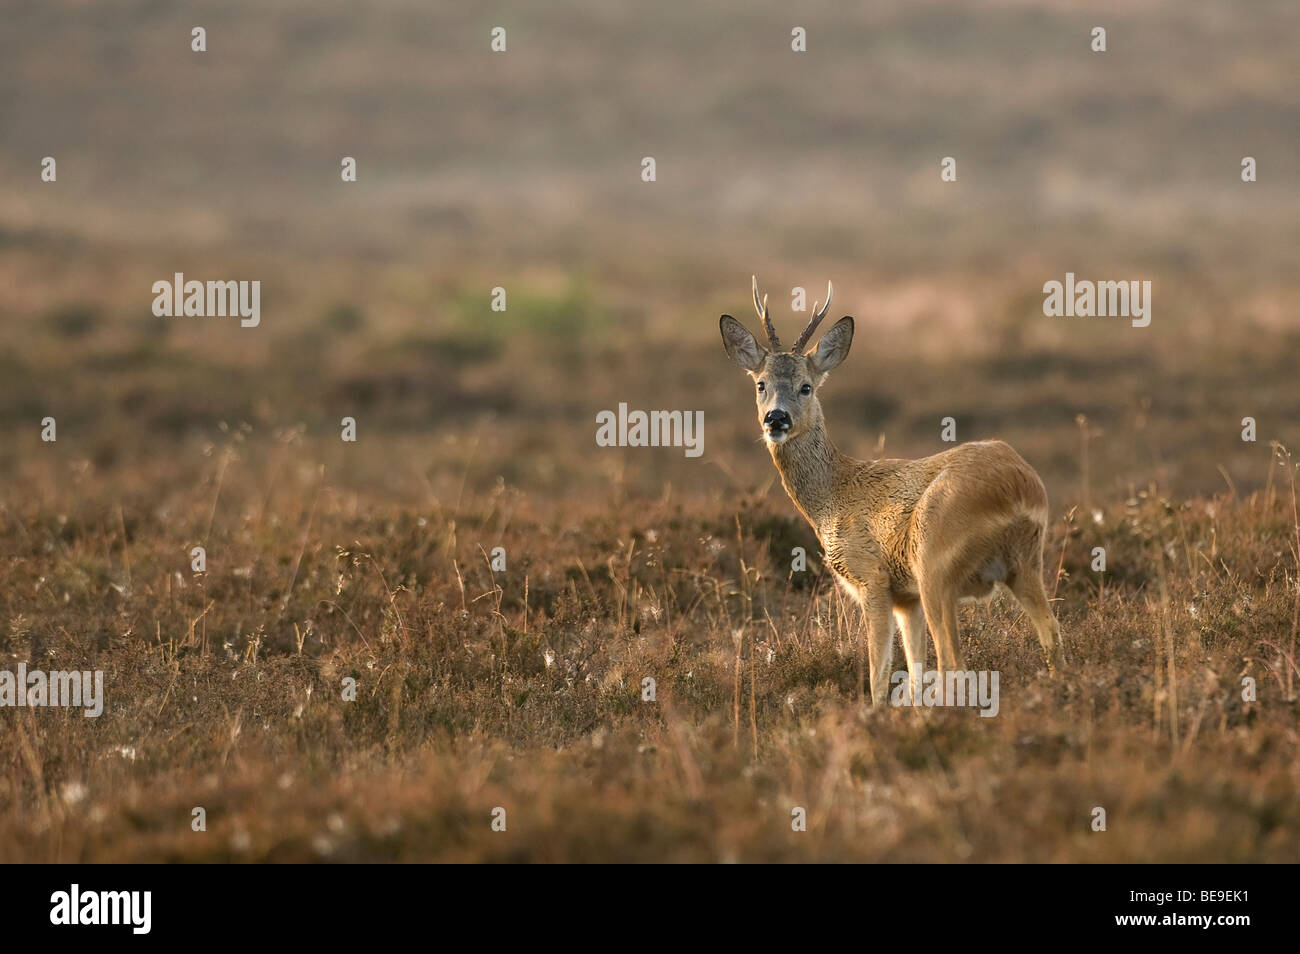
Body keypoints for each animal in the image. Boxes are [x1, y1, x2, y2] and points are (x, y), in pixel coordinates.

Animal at [720, 277, 1066, 705]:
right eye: (761, 384)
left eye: (806, 387)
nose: (776, 418)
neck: (833, 497)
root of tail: (1017, 486)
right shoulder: (906, 596)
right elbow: (914, 673)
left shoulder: (873, 578)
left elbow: (879, 675)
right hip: (1024, 562)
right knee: (1052, 637)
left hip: (935, 562)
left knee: (954, 662)